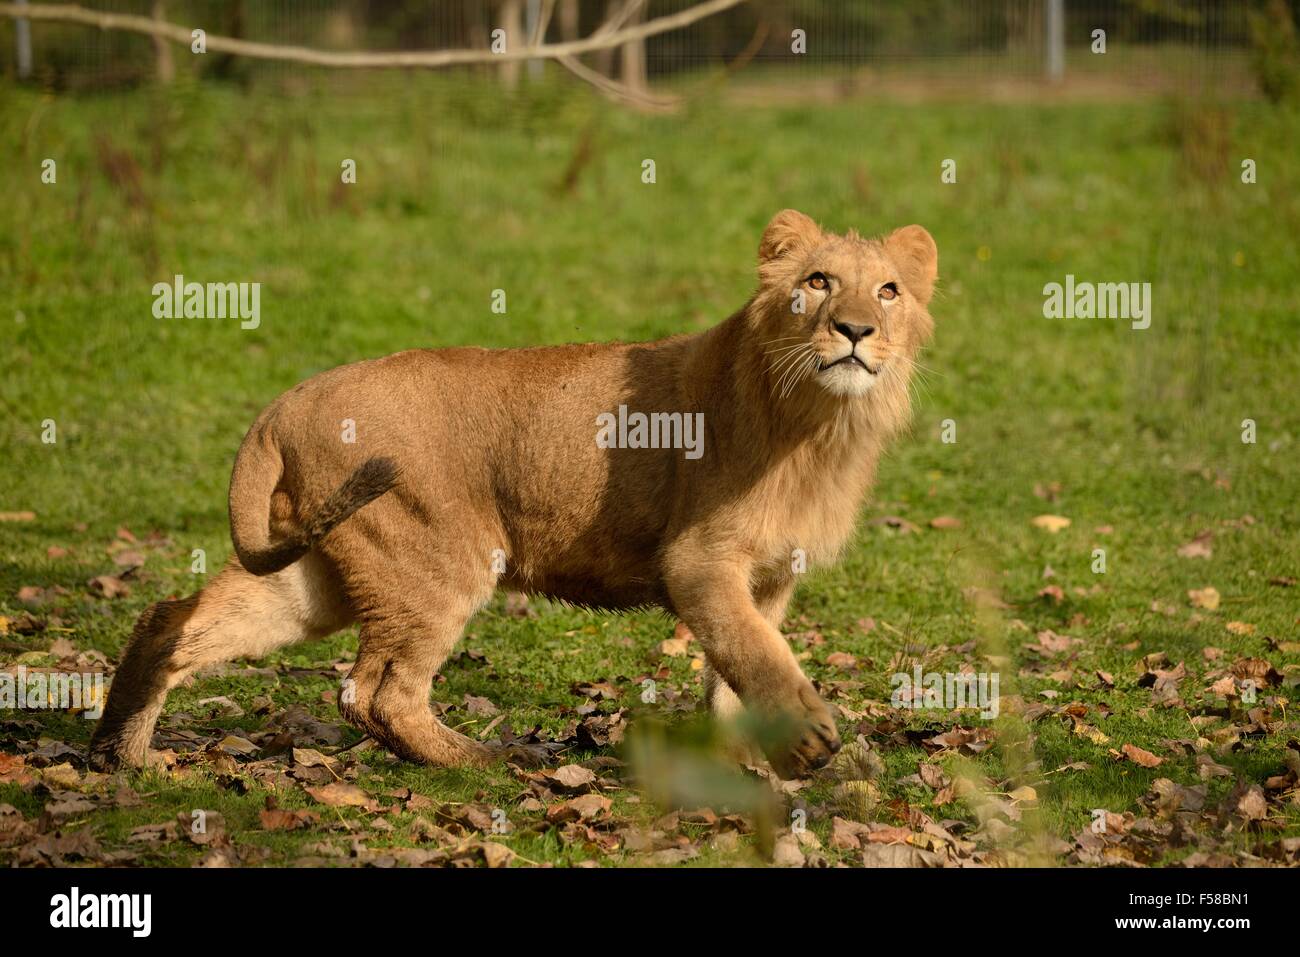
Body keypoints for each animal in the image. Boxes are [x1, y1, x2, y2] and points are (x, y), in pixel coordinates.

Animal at [89, 210, 937, 779]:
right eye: (818, 283)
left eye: (889, 291)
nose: (856, 330)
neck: (822, 425)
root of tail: (284, 404)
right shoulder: (698, 559)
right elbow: (758, 652)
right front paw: (809, 738)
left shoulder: (772, 574)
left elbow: (734, 667)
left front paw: (747, 764)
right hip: (435, 559)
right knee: (377, 693)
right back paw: (481, 759)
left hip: (316, 571)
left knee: (179, 620)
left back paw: (120, 751)